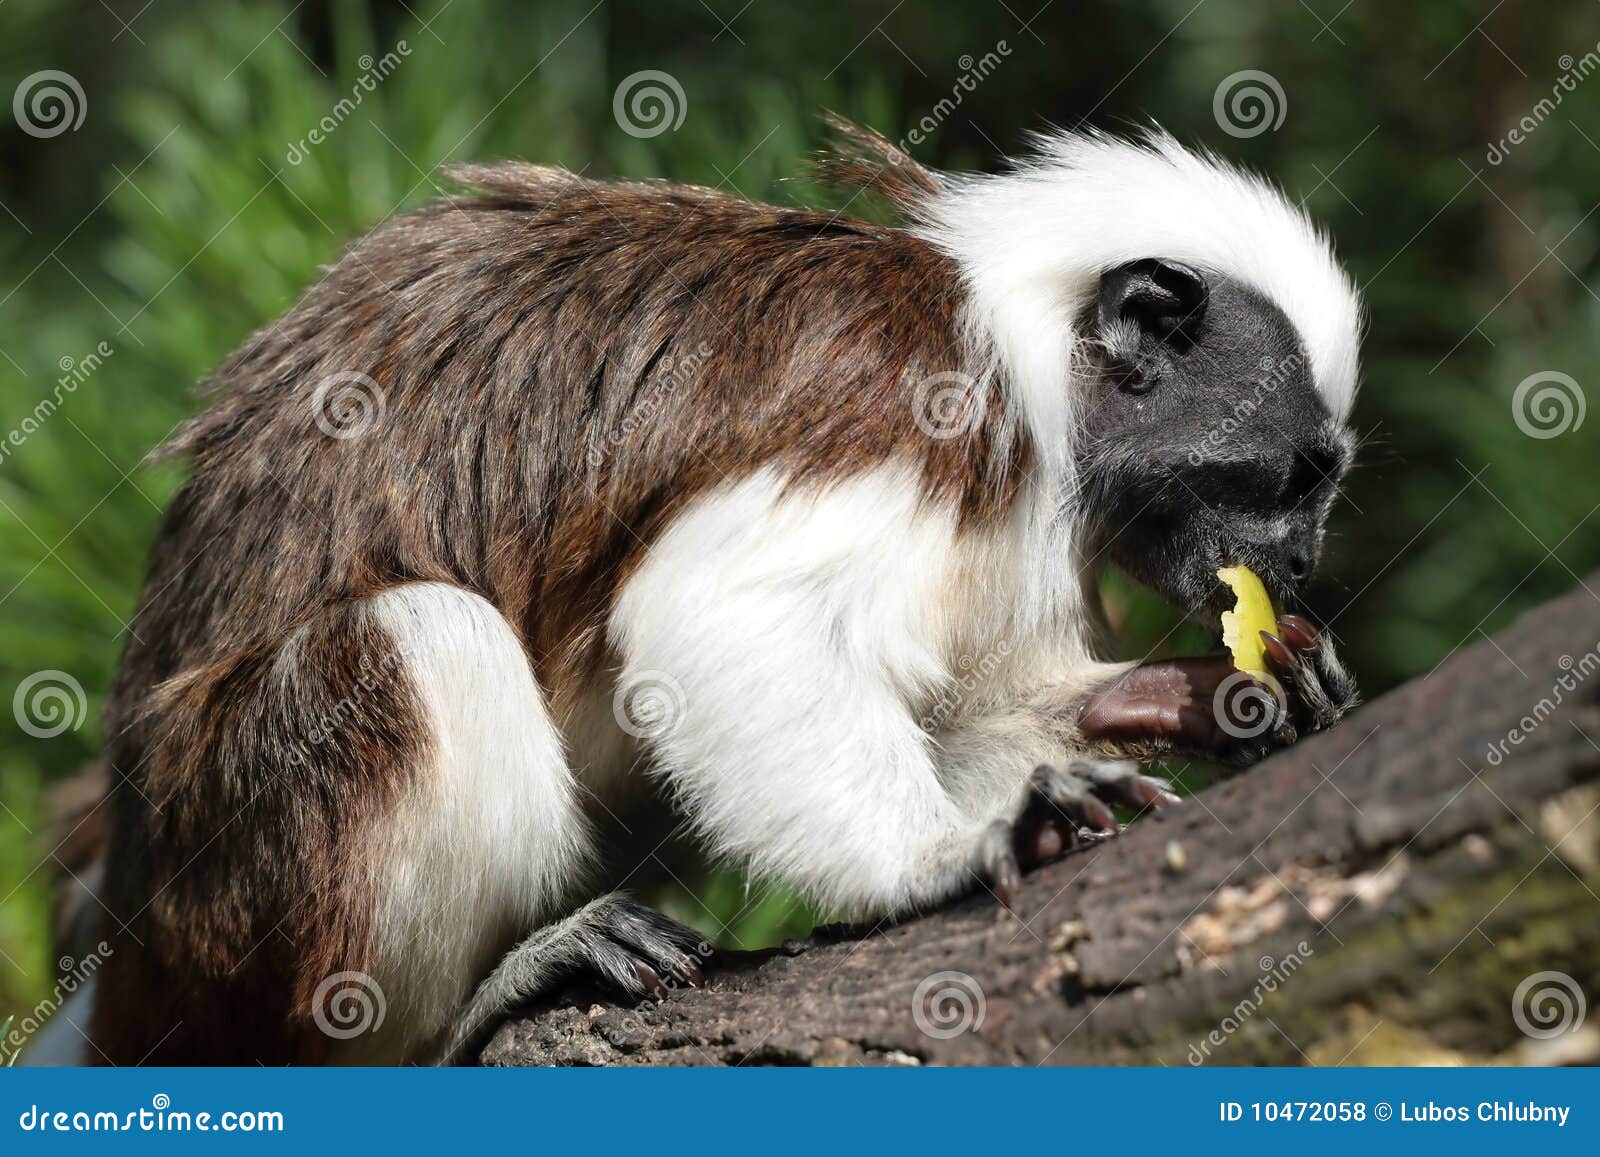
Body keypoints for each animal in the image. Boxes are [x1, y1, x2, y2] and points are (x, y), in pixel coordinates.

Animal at [28, 119, 1360, 1066]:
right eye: (1297, 474)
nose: (1298, 561)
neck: (1022, 359)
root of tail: (129, 929)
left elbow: (971, 707)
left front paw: (1185, 695)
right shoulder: (905, 411)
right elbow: (719, 615)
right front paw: (947, 850)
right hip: (228, 900)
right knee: (418, 638)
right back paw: (465, 1006)